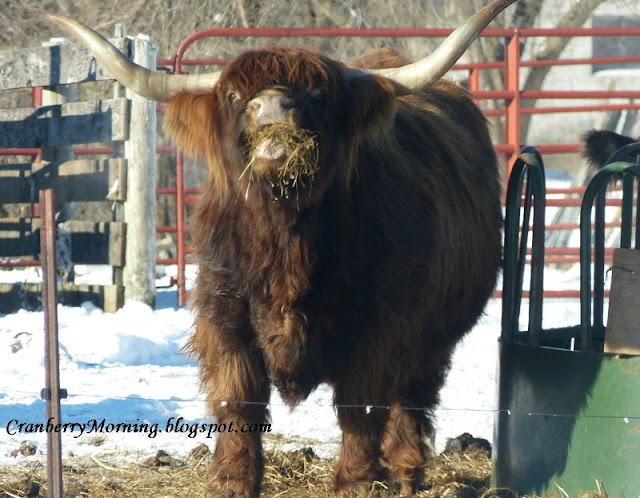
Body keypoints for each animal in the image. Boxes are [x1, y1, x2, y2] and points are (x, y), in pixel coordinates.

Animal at [45, 2, 513, 496]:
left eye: (317, 93)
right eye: (234, 94)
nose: (271, 108)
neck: (285, 239)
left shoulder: (380, 326)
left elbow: (361, 407)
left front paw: (357, 482)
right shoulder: (225, 314)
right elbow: (239, 400)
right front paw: (233, 481)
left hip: (438, 334)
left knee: (414, 394)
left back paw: (406, 470)